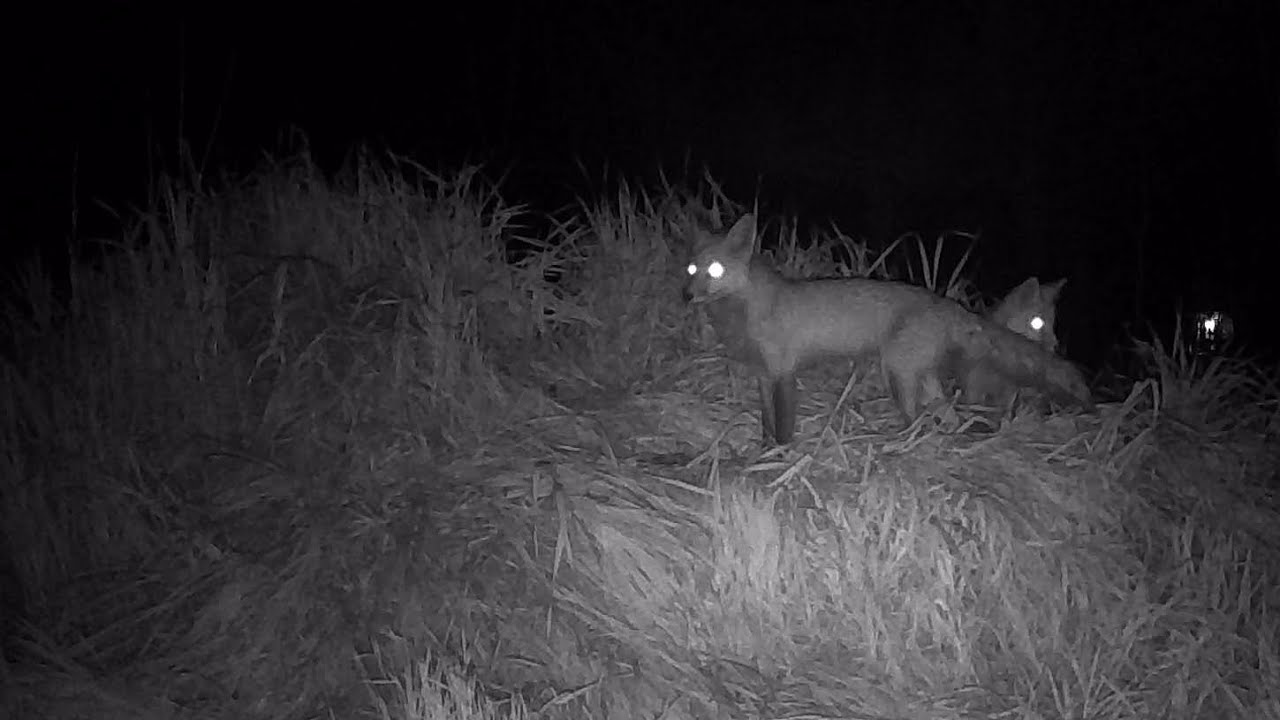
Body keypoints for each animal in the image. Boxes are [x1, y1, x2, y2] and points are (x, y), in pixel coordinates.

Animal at [683, 213, 1093, 445]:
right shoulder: (762, 376)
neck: (744, 315)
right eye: (691, 269)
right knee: (947, 419)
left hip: (897, 374)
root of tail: (949, 305)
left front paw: (780, 461)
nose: (687, 295)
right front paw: (762, 454)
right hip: (919, 380)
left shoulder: (783, 373)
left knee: (919, 422)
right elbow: (767, 423)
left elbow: (783, 427)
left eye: (716, 270)